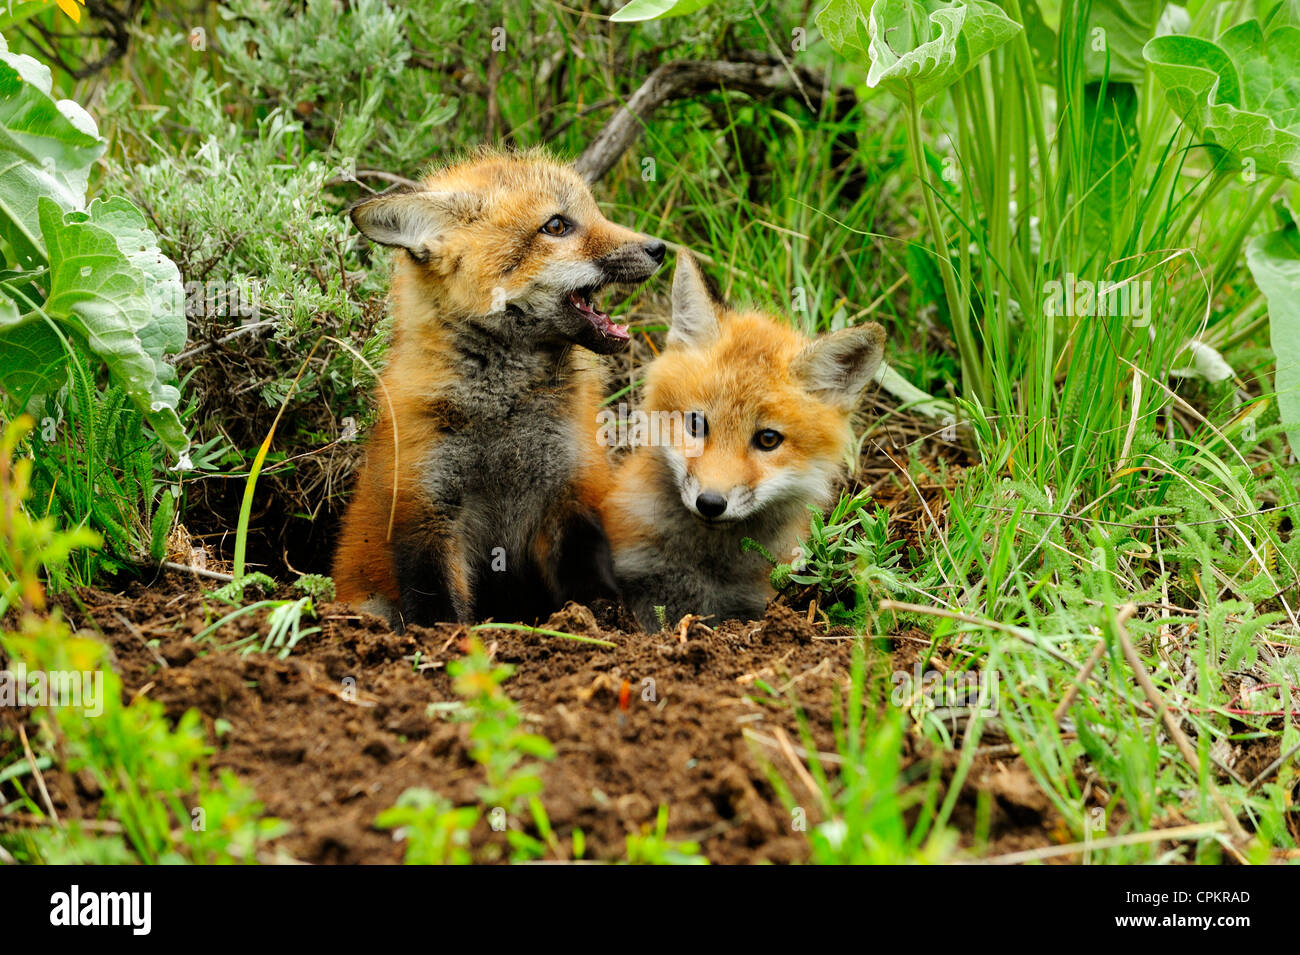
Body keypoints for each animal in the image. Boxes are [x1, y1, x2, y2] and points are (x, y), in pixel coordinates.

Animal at [332, 148, 665, 629]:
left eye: (596, 212)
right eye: (557, 226)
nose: (659, 248)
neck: (506, 414)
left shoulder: (572, 494)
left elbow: (591, 584)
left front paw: (604, 625)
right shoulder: (425, 512)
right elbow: (437, 609)